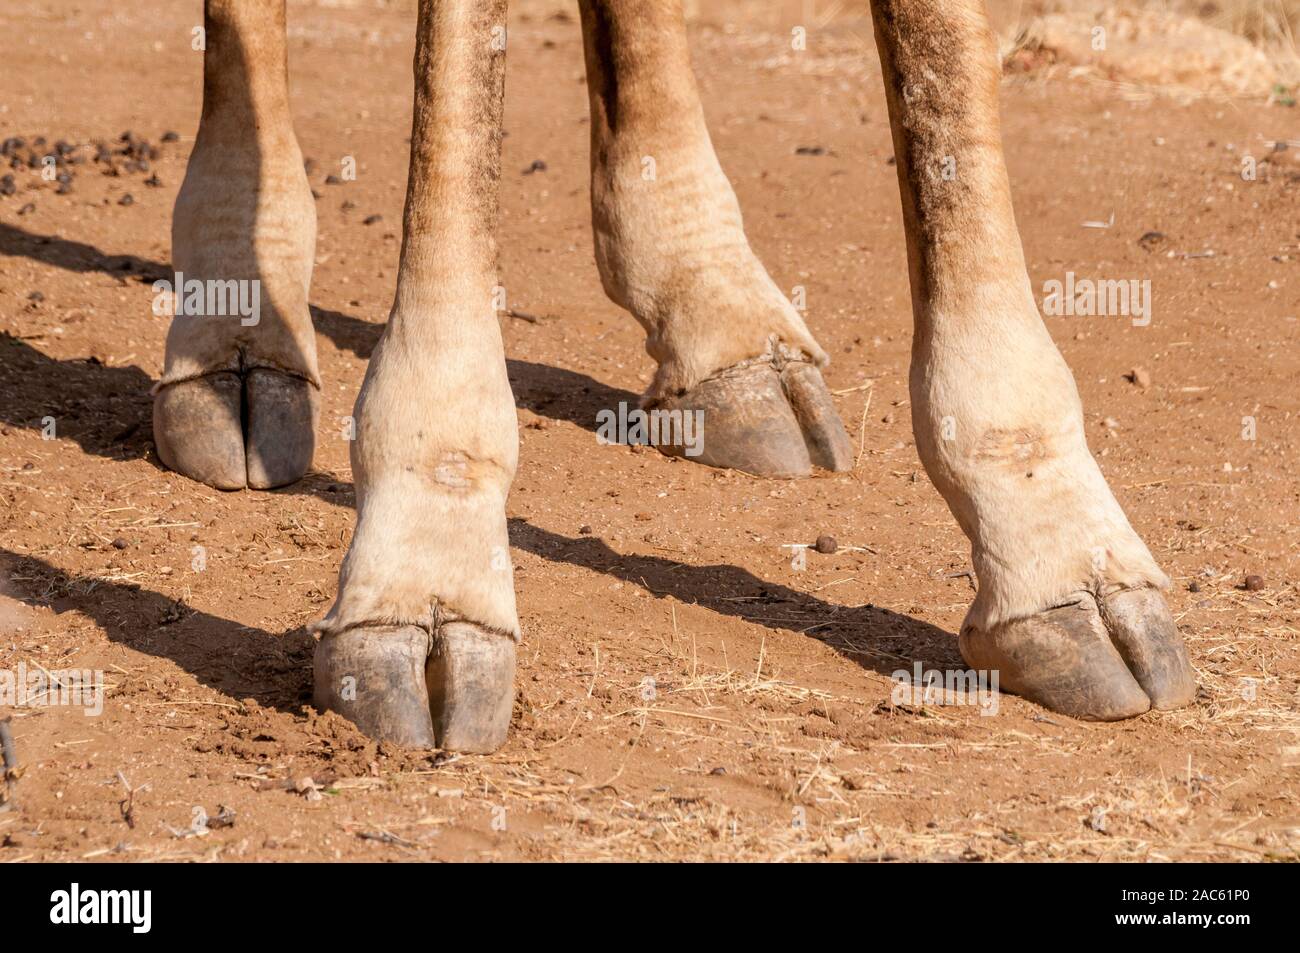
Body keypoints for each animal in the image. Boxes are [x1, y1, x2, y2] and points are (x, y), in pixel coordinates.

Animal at [154, 0, 1198, 752]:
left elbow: (941, 59)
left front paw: (1060, 550)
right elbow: (458, 75)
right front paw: (426, 579)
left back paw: (723, 326)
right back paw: (238, 335)